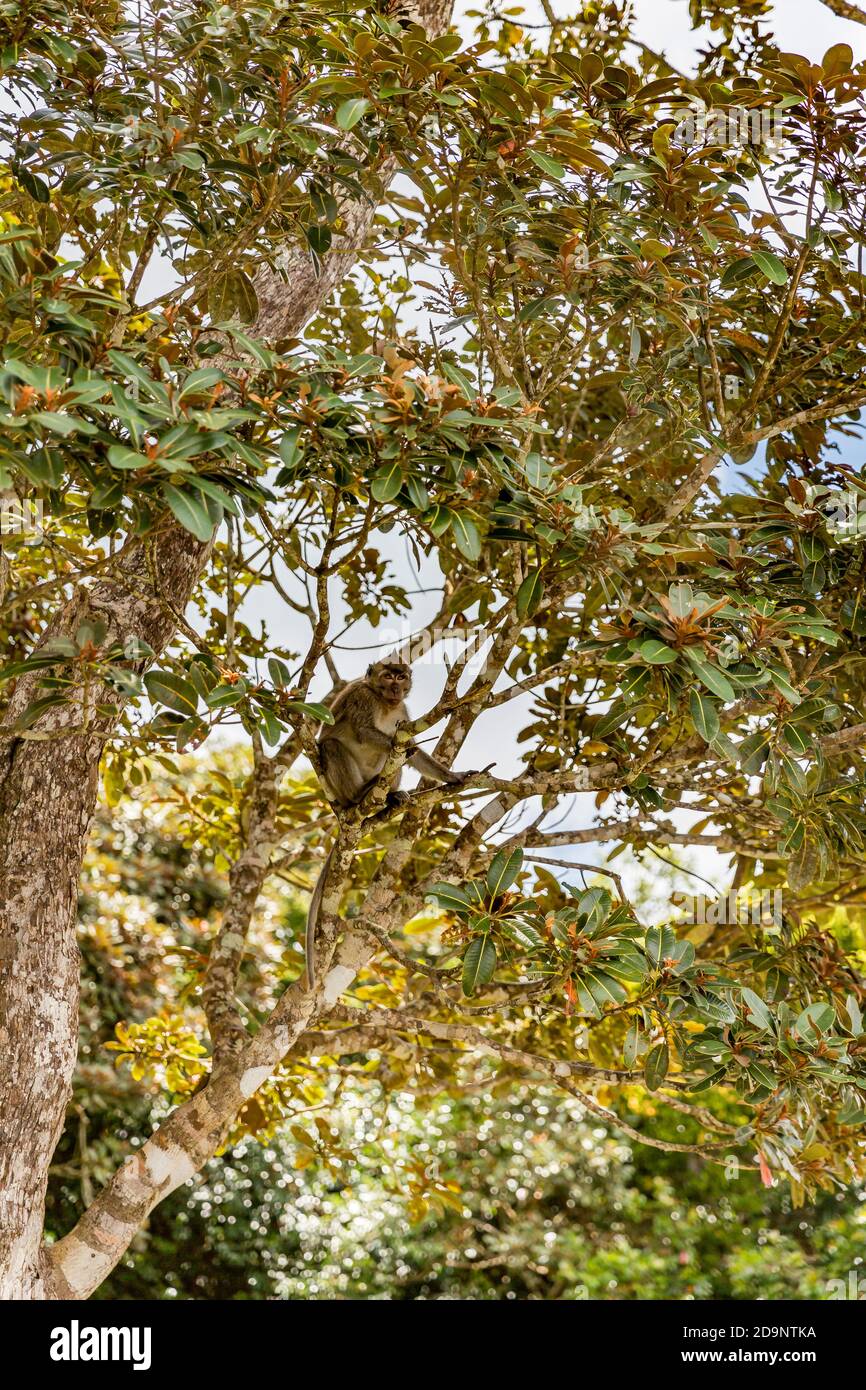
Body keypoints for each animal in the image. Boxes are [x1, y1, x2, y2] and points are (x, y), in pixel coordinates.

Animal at [305, 659, 468, 987]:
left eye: (401, 676)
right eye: (388, 675)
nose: (395, 685)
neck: (384, 701)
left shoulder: (403, 709)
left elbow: (412, 752)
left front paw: (453, 776)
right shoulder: (362, 697)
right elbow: (365, 731)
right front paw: (397, 744)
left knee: (394, 766)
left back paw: (390, 796)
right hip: (339, 787)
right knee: (332, 747)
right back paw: (359, 797)